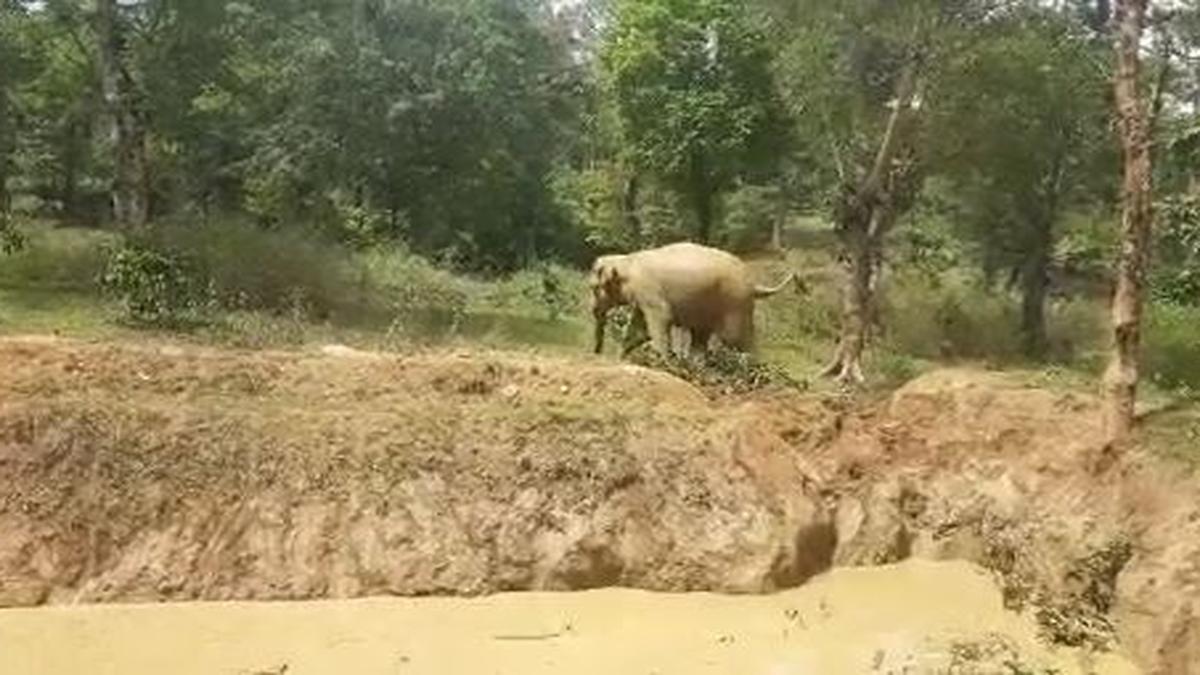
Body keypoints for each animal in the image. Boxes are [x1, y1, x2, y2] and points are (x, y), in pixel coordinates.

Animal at [588, 242, 799, 357]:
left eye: (594, 288)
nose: (596, 353)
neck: (627, 261)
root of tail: (753, 284)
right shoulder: (642, 298)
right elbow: (639, 332)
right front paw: (621, 358)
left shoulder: (649, 291)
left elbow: (661, 320)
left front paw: (663, 360)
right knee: (700, 338)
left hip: (735, 302)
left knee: (736, 339)